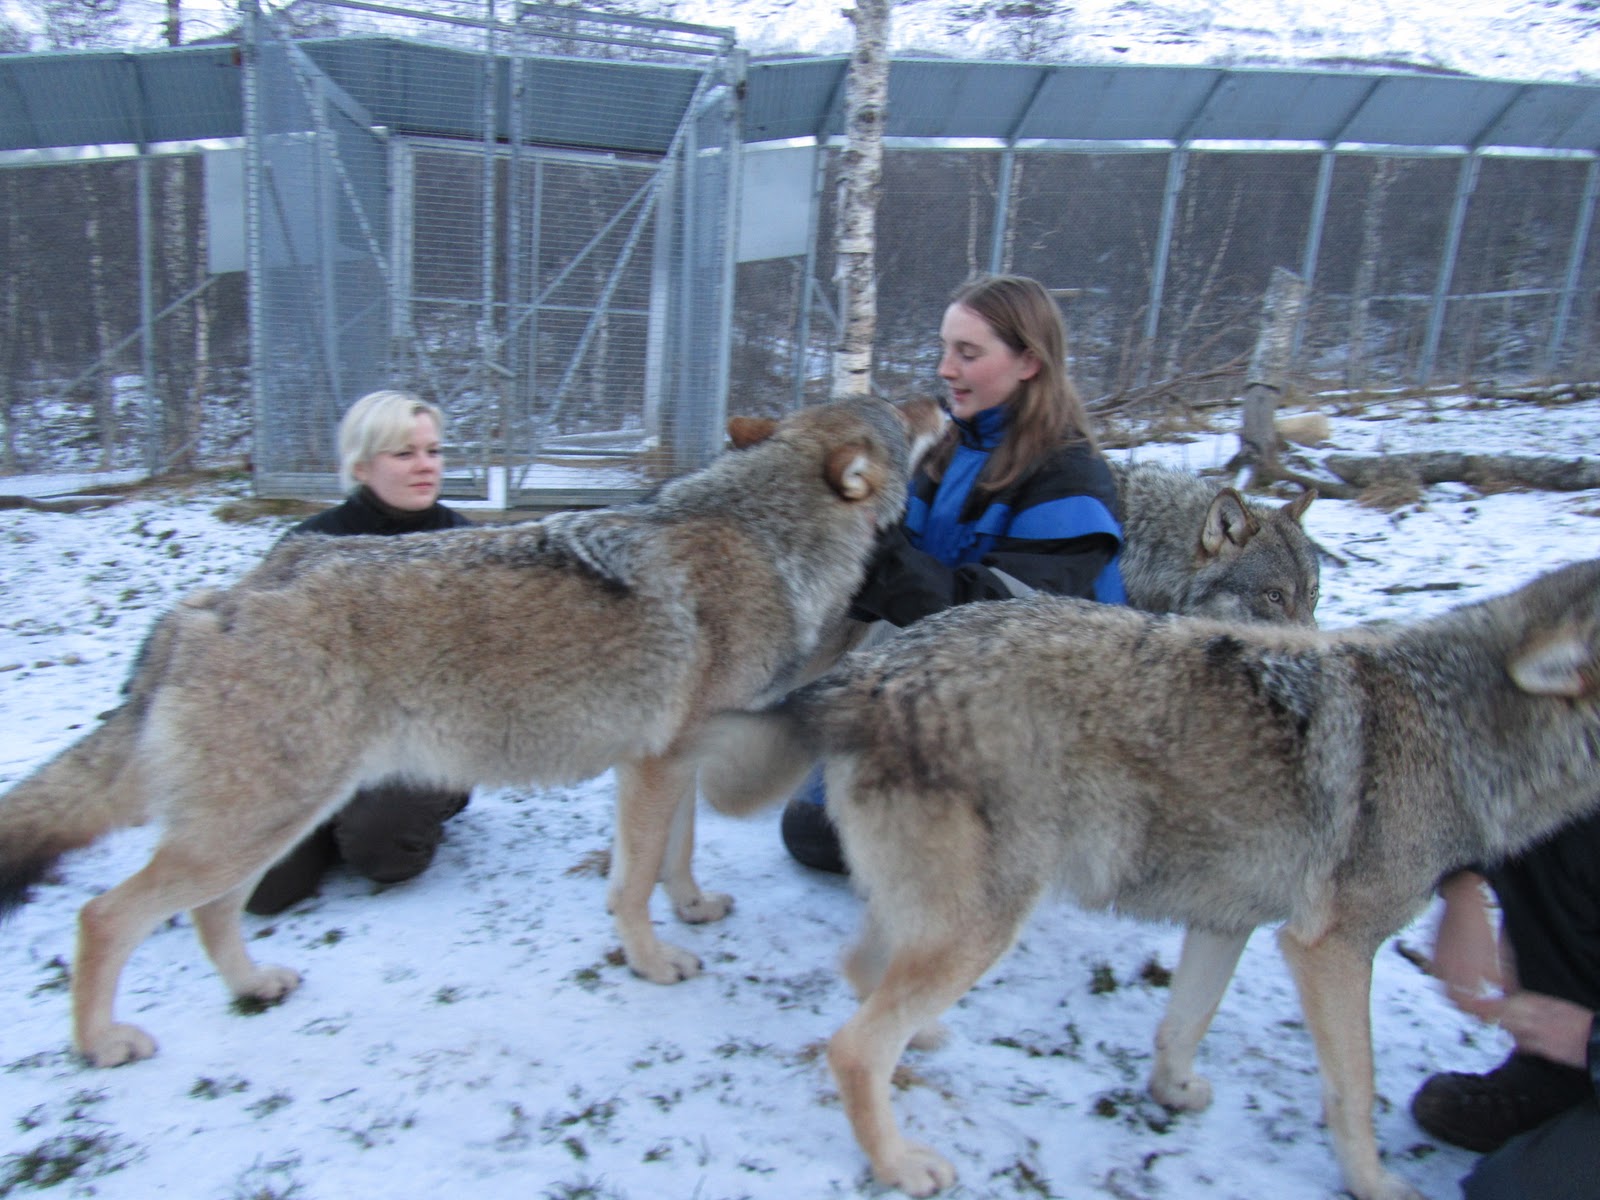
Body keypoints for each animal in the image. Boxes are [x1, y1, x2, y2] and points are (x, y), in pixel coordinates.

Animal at [0, 396, 946, 1069]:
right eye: (900, 413)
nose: (938, 392)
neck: (766, 537)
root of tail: (203, 607)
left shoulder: (672, 761)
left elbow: (676, 857)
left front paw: (694, 909)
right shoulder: (657, 763)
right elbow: (632, 883)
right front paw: (652, 963)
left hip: (270, 824)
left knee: (208, 913)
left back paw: (255, 985)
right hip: (252, 826)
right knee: (103, 916)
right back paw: (102, 1044)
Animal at [698, 558, 1600, 1200]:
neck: (1463, 726)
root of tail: (877, 668)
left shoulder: (1228, 921)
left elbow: (1183, 1023)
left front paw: (1170, 1092)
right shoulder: (1331, 950)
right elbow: (1357, 1088)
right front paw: (1374, 1185)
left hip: (947, 914)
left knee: (862, 976)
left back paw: (919, 1044)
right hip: (987, 925)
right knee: (853, 1046)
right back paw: (900, 1163)